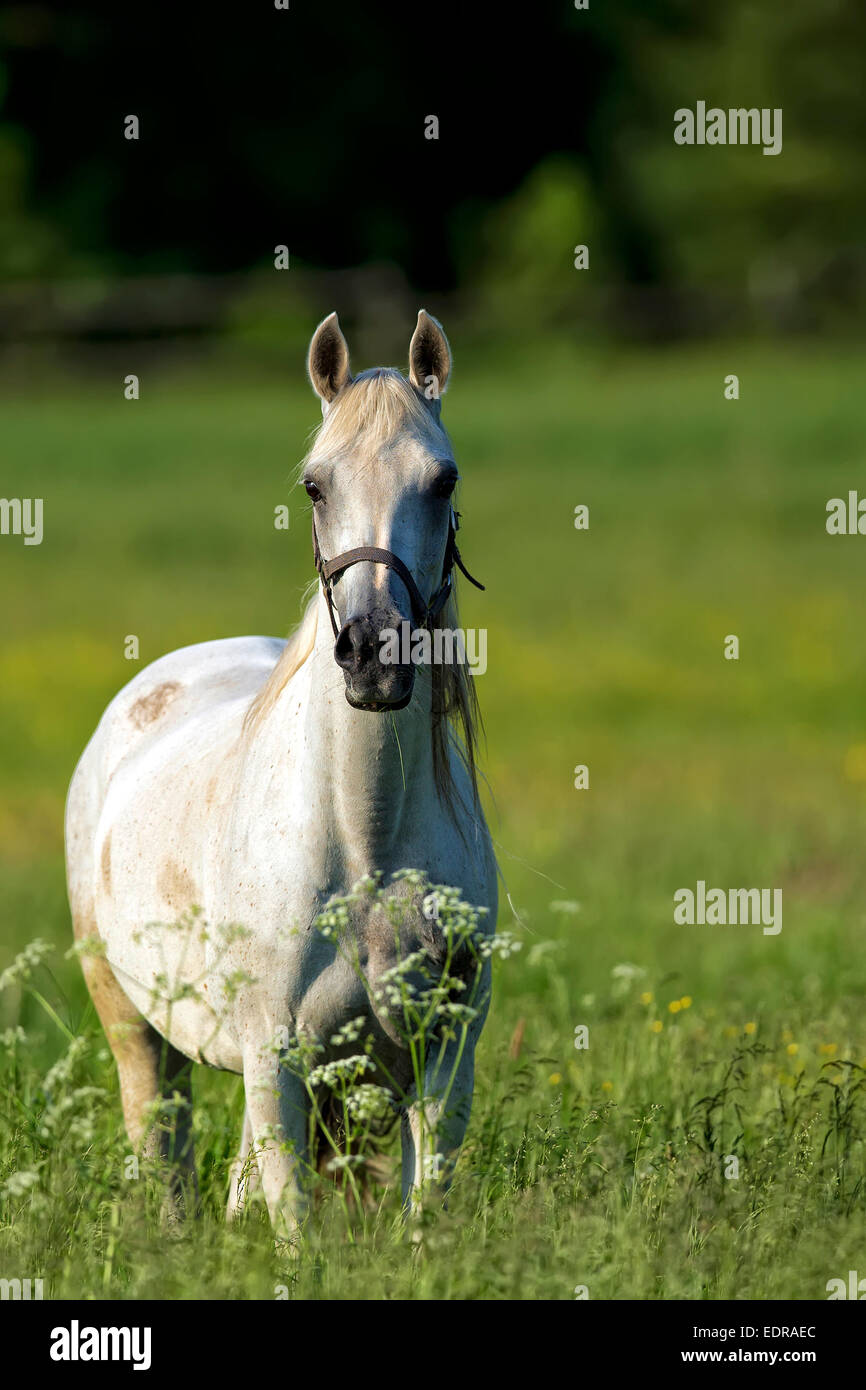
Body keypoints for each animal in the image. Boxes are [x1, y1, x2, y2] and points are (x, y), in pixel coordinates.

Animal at [65, 310, 498, 1238]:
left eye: (442, 480)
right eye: (314, 486)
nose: (373, 653)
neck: (365, 839)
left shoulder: (442, 1058)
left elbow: (422, 1207)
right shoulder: (277, 1058)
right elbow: (295, 1221)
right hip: (133, 1028)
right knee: (162, 1148)